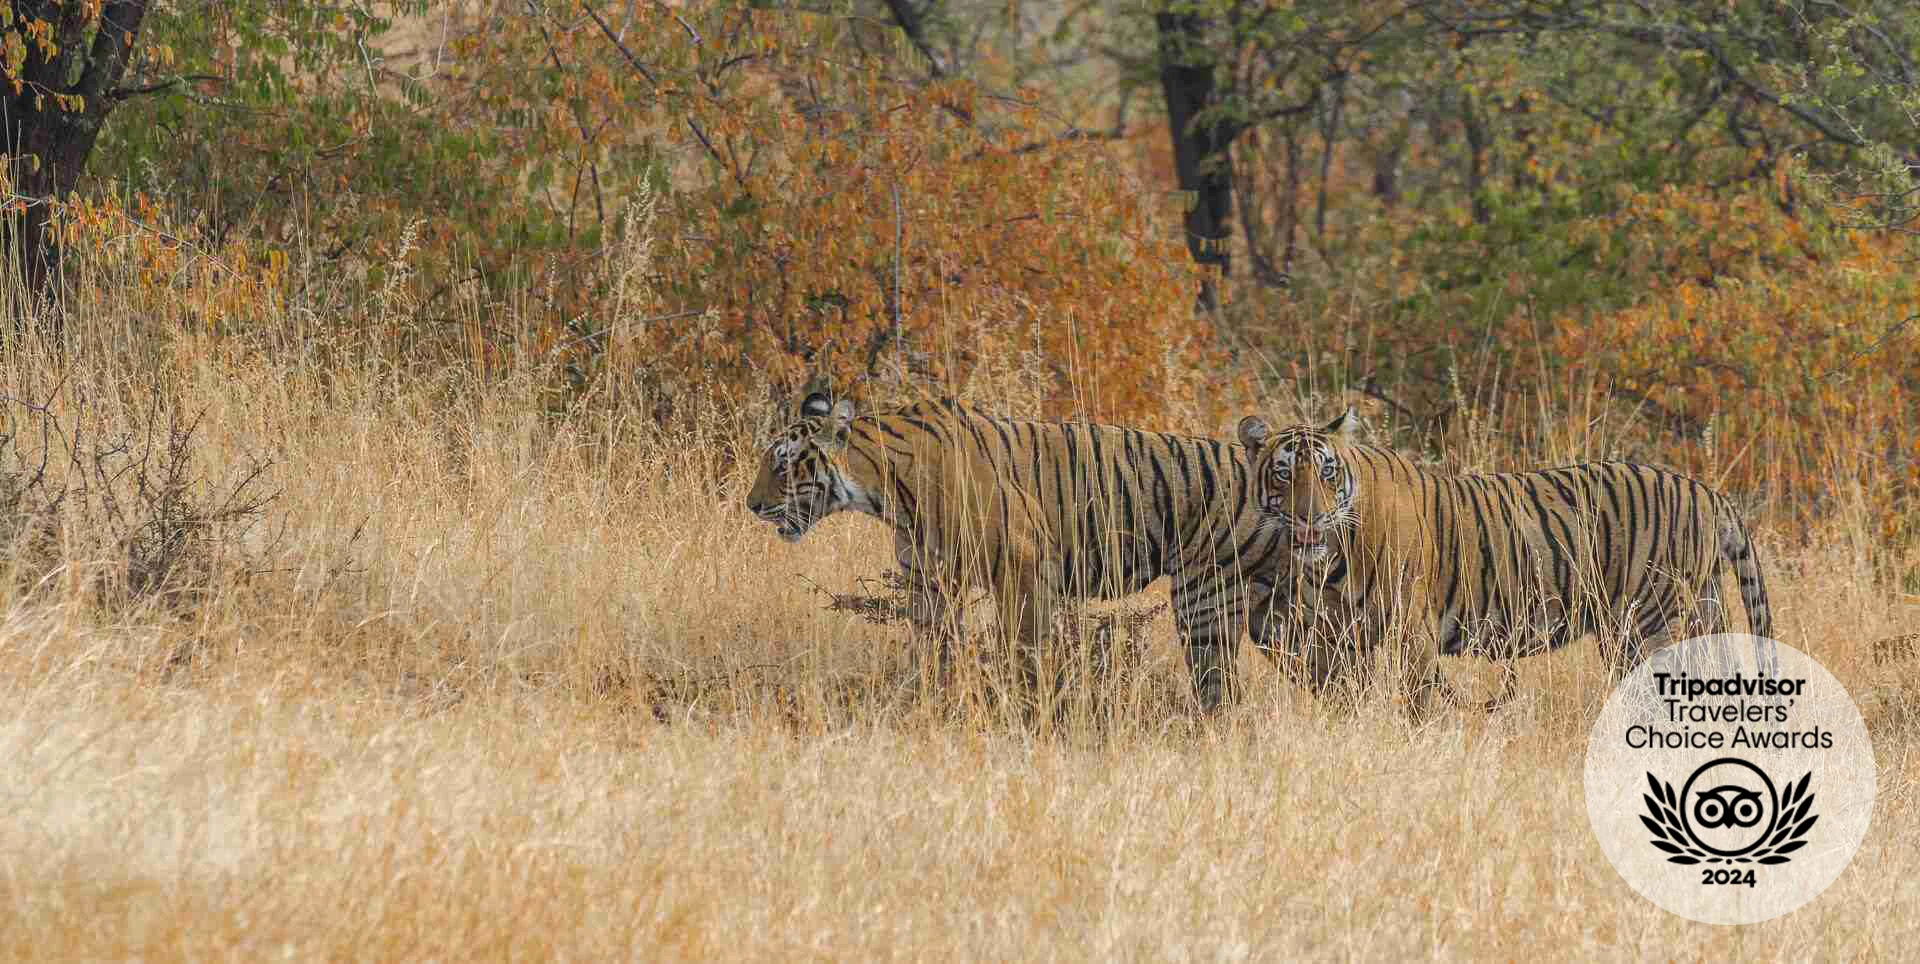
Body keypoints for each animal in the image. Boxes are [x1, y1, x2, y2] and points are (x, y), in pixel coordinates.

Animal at [744, 391, 1287, 709]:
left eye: (782, 464)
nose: (752, 505)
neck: (884, 490)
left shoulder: (1022, 566)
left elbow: (1021, 648)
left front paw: (1025, 705)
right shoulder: (928, 579)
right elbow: (933, 648)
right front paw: (929, 699)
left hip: (1205, 597)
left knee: (1219, 686)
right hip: (1278, 614)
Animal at [1236, 408, 1776, 712]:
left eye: (1327, 472)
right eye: (1284, 474)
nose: (1311, 518)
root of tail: (1709, 493)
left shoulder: (1409, 629)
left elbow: (1418, 700)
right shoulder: (1337, 636)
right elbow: (1341, 697)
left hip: (1648, 623)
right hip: (1699, 613)